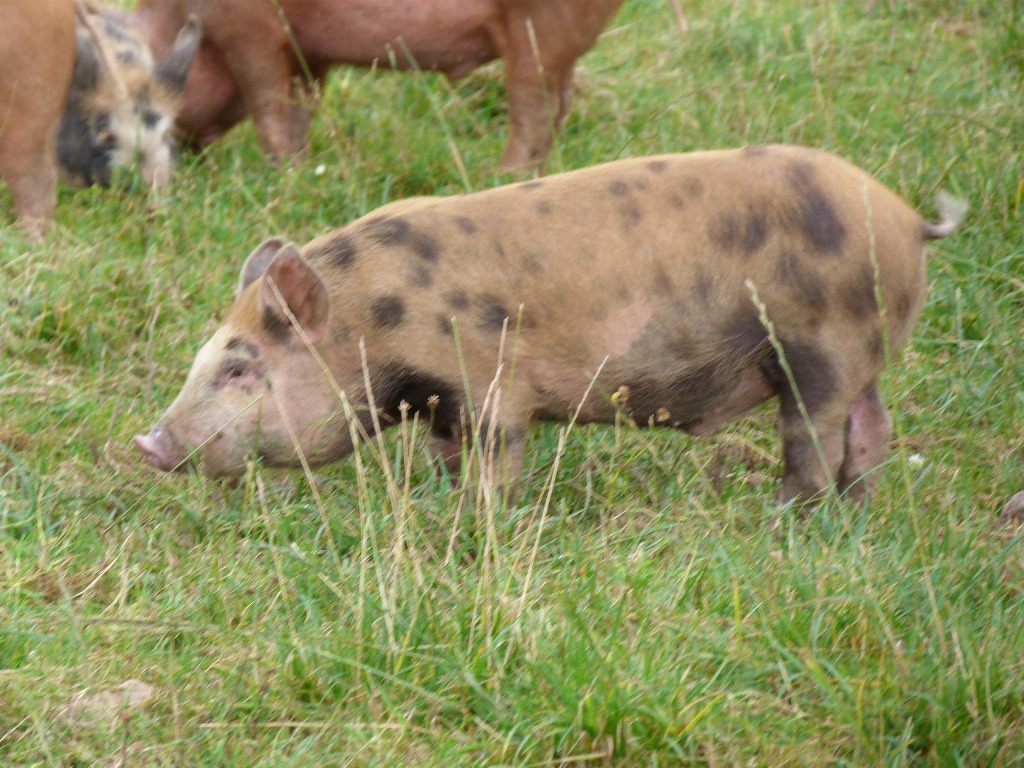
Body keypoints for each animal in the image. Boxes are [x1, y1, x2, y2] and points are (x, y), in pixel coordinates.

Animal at [118, 0, 624, 171]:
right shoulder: (307, 51)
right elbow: (300, 106)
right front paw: (300, 171)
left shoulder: (250, 30)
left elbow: (267, 105)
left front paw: (279, 171)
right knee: (557, 107)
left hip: (538, 27)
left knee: (533, 112)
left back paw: (500, 178)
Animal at [134, 145, 967, 503]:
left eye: (241, 366)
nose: (147, 443)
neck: (375, 320)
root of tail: (907, 220)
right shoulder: (440, 404)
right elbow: (446, 456)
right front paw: (439, 501)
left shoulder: (490, 387)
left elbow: (496, 459)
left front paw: (475, 520)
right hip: (856, 355)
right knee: (873, 426)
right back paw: (853, 512)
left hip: (817, 346)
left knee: (817, 437)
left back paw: (787, 515)